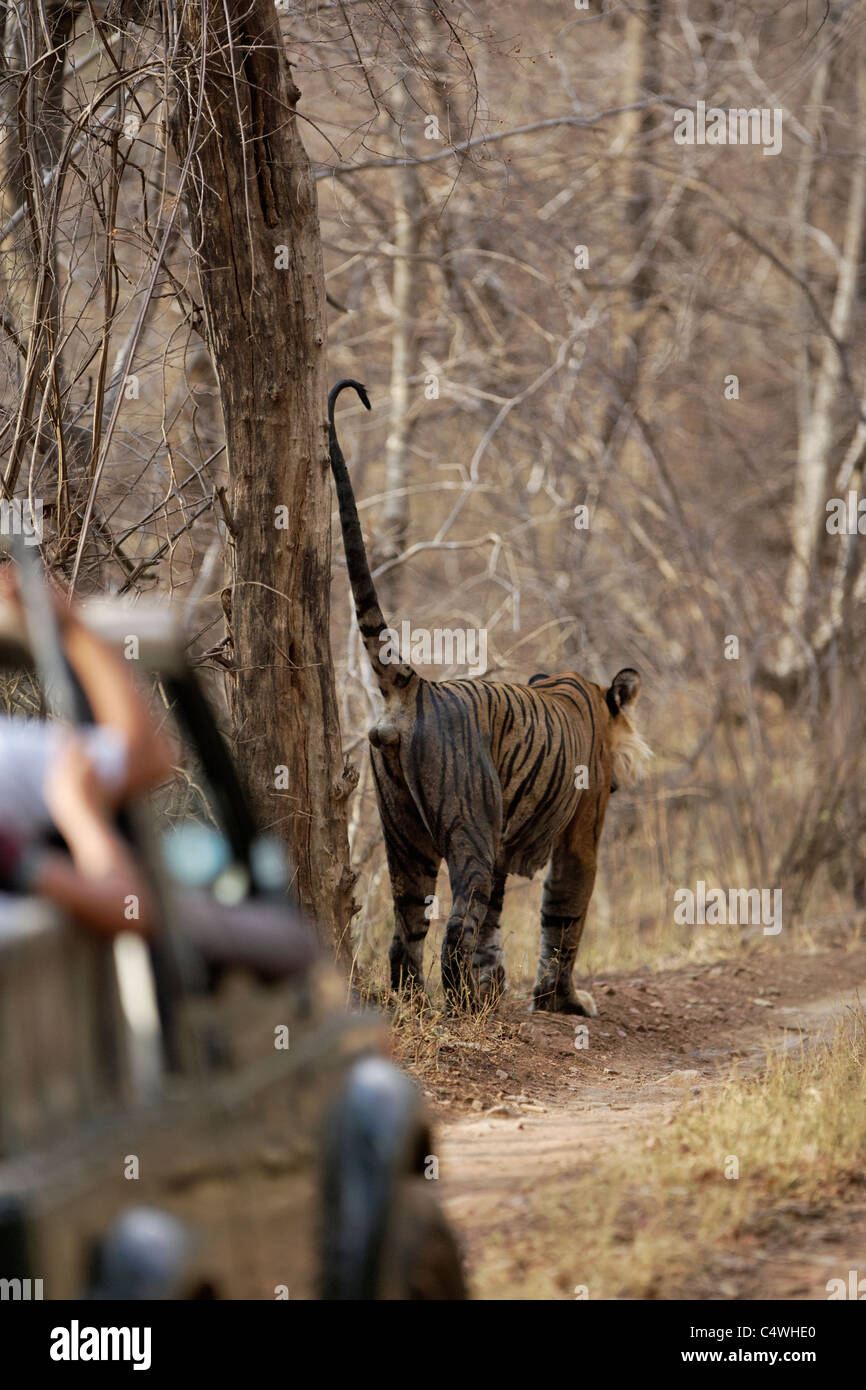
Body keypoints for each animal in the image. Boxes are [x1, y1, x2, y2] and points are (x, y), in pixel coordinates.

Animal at [327, 378, 651, 1014]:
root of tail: (415, 686)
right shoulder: (578, 835)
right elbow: (564, 918)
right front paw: (561, 1001)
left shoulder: (504, 843)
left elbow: (498, 922)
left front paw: (495, 986)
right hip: (468, 830)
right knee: (455, 926)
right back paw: (458, 1007)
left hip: (403, 837)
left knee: (407, 929)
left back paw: (417, 1001)